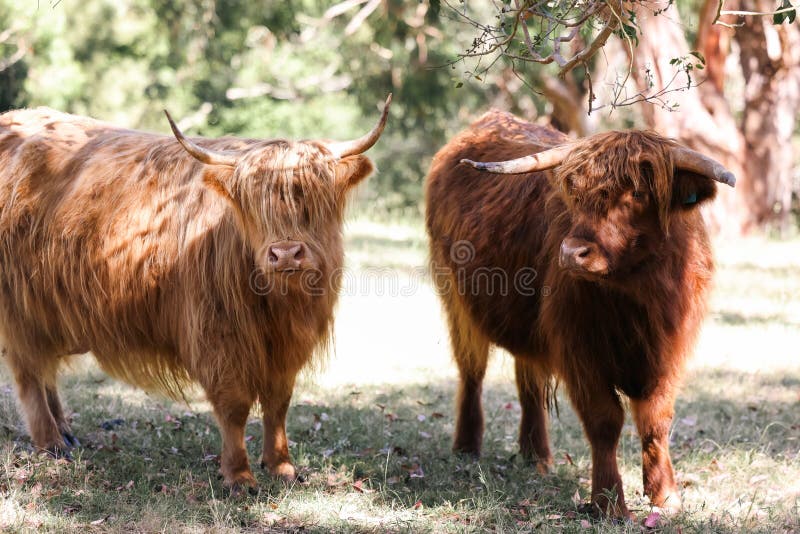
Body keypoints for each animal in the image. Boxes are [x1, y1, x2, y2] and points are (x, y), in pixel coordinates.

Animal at [0, 95, 391, 493]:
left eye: (313, 200)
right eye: (252, 204)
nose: (284, 254)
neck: (278, 305)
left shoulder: (289, 346)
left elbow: (278, 403)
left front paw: (281, 466)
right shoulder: (216, 335)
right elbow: (234, 406)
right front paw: (239, 475)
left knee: (45, 370)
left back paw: (65, 431)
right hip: (17, 306)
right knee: (29, 373)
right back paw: (52, 444)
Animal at [425, 110, 734, 518]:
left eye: (638, 193)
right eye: (575, 193)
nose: (572, 252)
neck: (636, 297)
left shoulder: (670, 351)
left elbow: (656, 419)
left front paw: (665, 495)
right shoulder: (580, 350)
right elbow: (604, 420)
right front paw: (609, 502)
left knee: (529, 380)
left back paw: (536, 456)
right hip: (457, 302)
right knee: (472, 372)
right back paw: (466, 446)